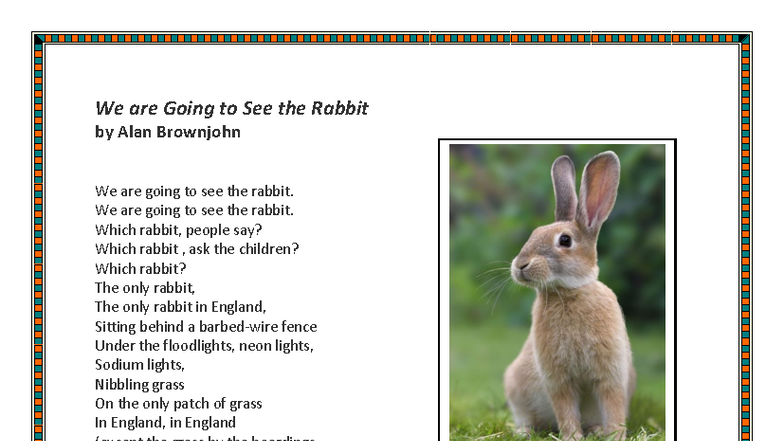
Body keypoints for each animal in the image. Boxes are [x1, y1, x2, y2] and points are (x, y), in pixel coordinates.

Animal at [503, 151, 636, 440]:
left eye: (565, 241)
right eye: (533, 234)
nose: (520, 265)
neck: (569, 291)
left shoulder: (611, 372)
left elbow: (613, 404)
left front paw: (614, 434)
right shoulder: (558, 378)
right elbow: (565, 408)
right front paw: (573, 436)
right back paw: (524, 431)